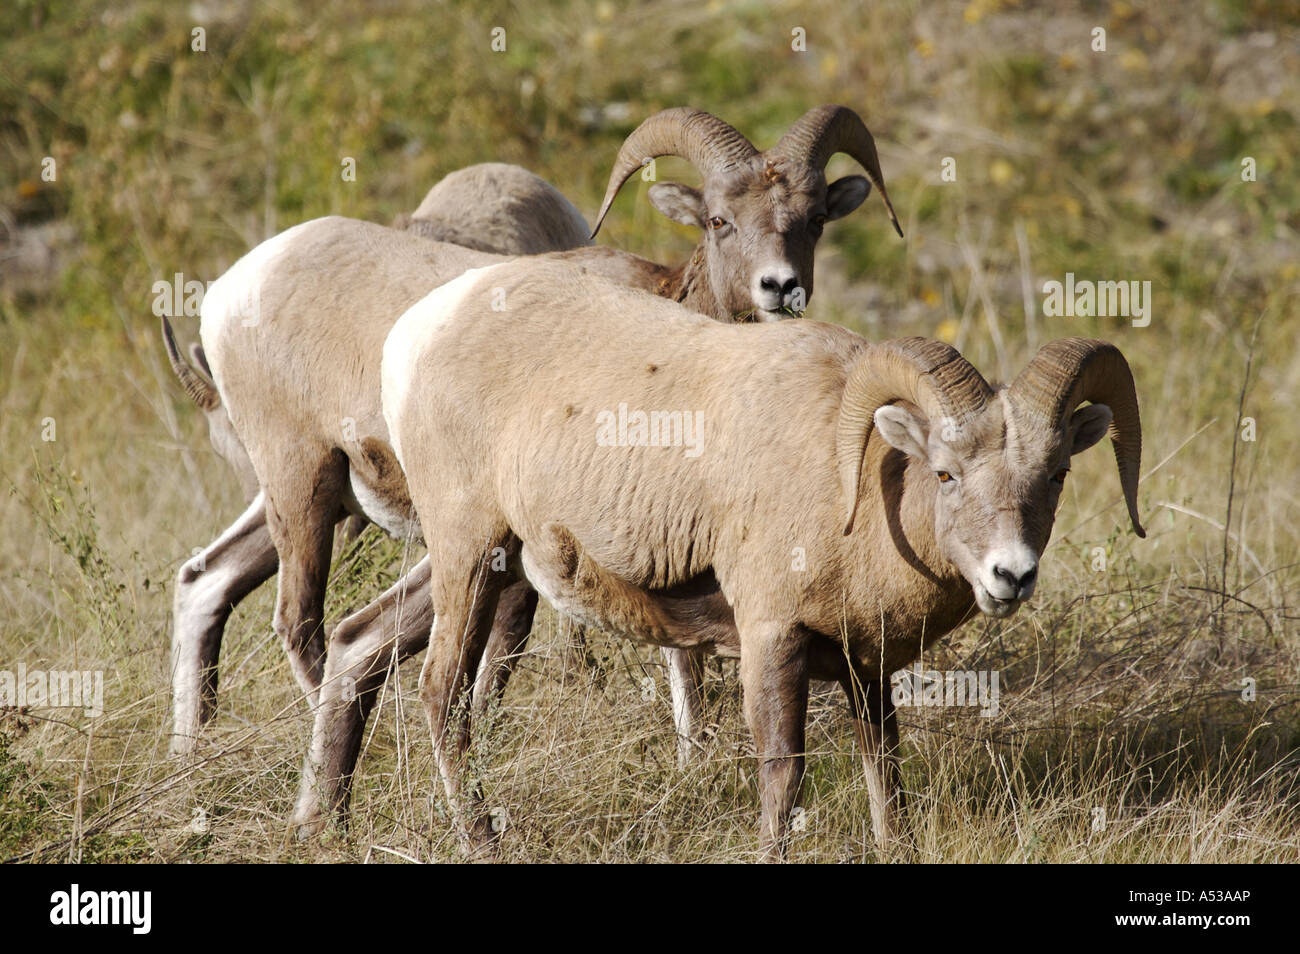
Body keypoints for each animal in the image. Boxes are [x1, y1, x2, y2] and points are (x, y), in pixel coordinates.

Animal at [171, 105, 903, 832]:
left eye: (814, 218)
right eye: (720, 219)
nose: (780, 288)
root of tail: (233, 289)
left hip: (312, 501)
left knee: (208, 581)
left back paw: (194, 756)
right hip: (306, 484)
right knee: (300, 622)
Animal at [376, 257, 1145, 859]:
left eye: (1055, 475)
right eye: (946, 473)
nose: (1010, 575)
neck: (858, 495)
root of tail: (419, 328)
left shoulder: (867, 669)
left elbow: (886, 781)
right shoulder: (773, 640)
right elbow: (783, 780)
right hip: (470, 553)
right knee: (441, 692)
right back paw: (481, 840)